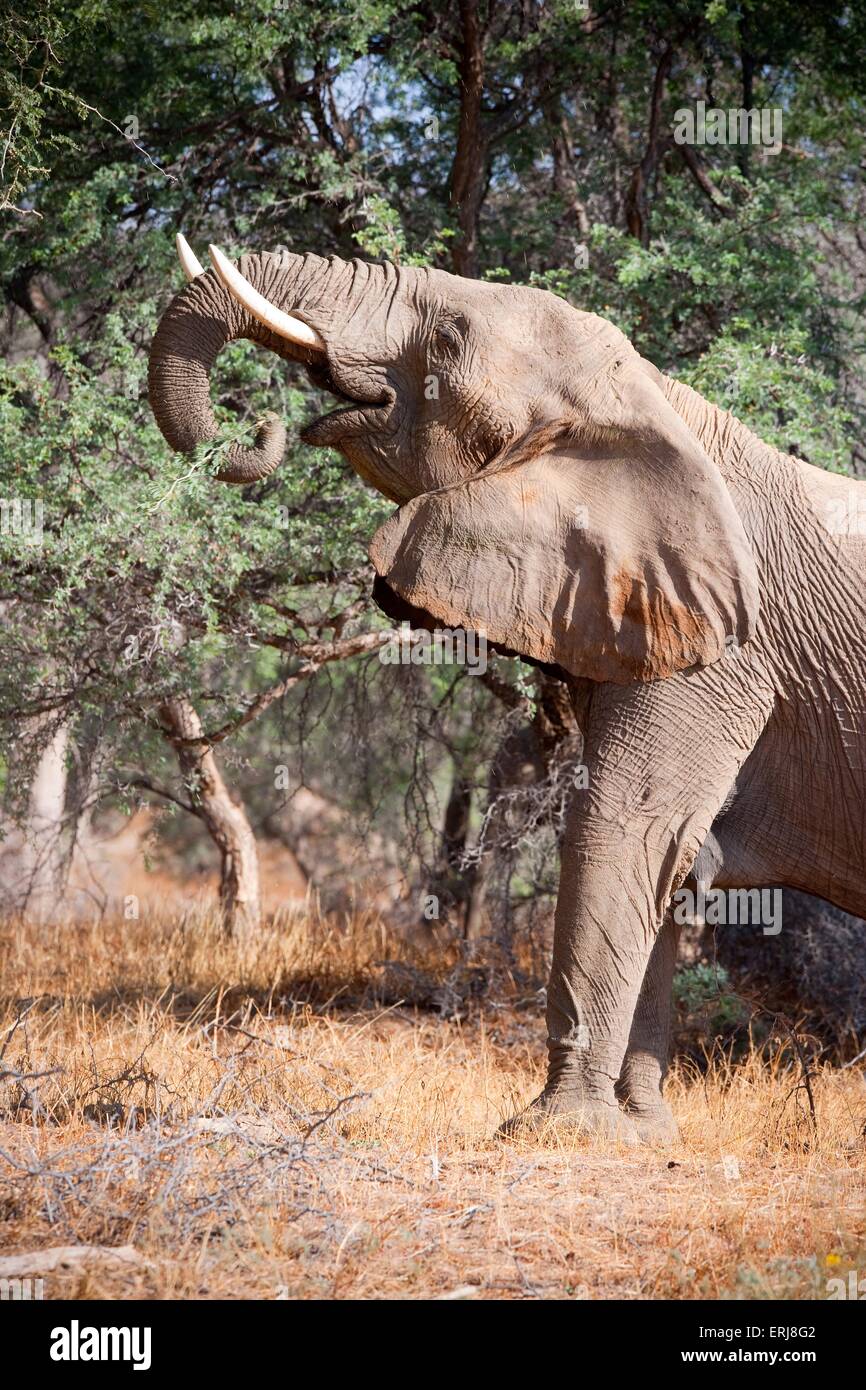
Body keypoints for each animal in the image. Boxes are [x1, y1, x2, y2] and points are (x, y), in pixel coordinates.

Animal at [148, 236, 866, 1144]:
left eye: (448, 341)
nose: (262, 427)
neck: (649, 396)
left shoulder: (728, 657)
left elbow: (620, 828)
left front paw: (559, 1133)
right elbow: (661, 861)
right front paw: (645, 1135)